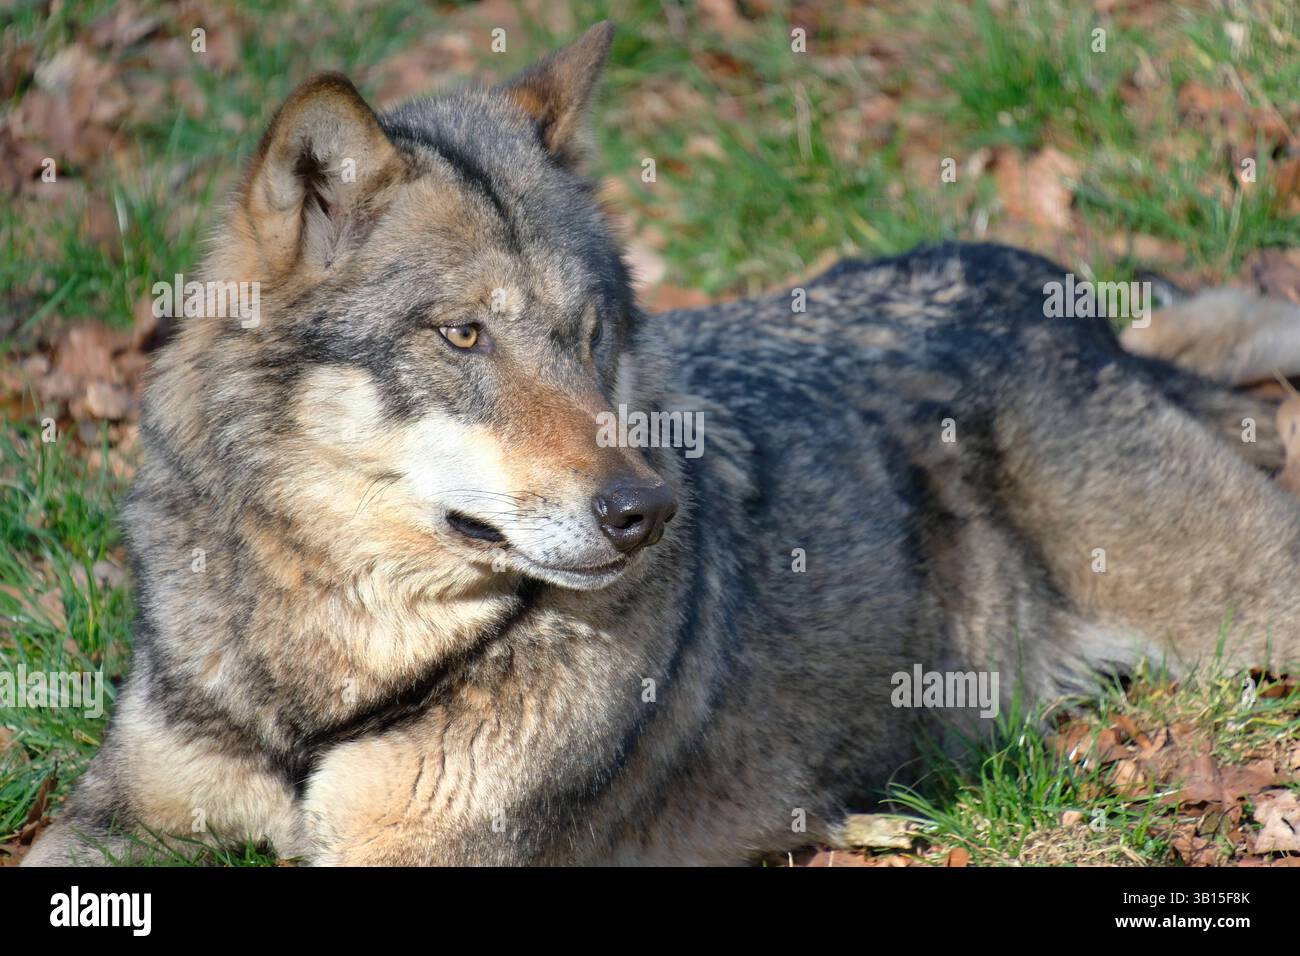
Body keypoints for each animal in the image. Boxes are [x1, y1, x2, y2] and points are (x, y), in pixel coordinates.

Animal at [25, 22, 1300, 866]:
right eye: (464, 333)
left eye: (589, 335)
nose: (645, 511)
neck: (328, 677)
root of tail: (1041, 285)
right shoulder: (118, 818)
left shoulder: (420, 851)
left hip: (1246, 621)